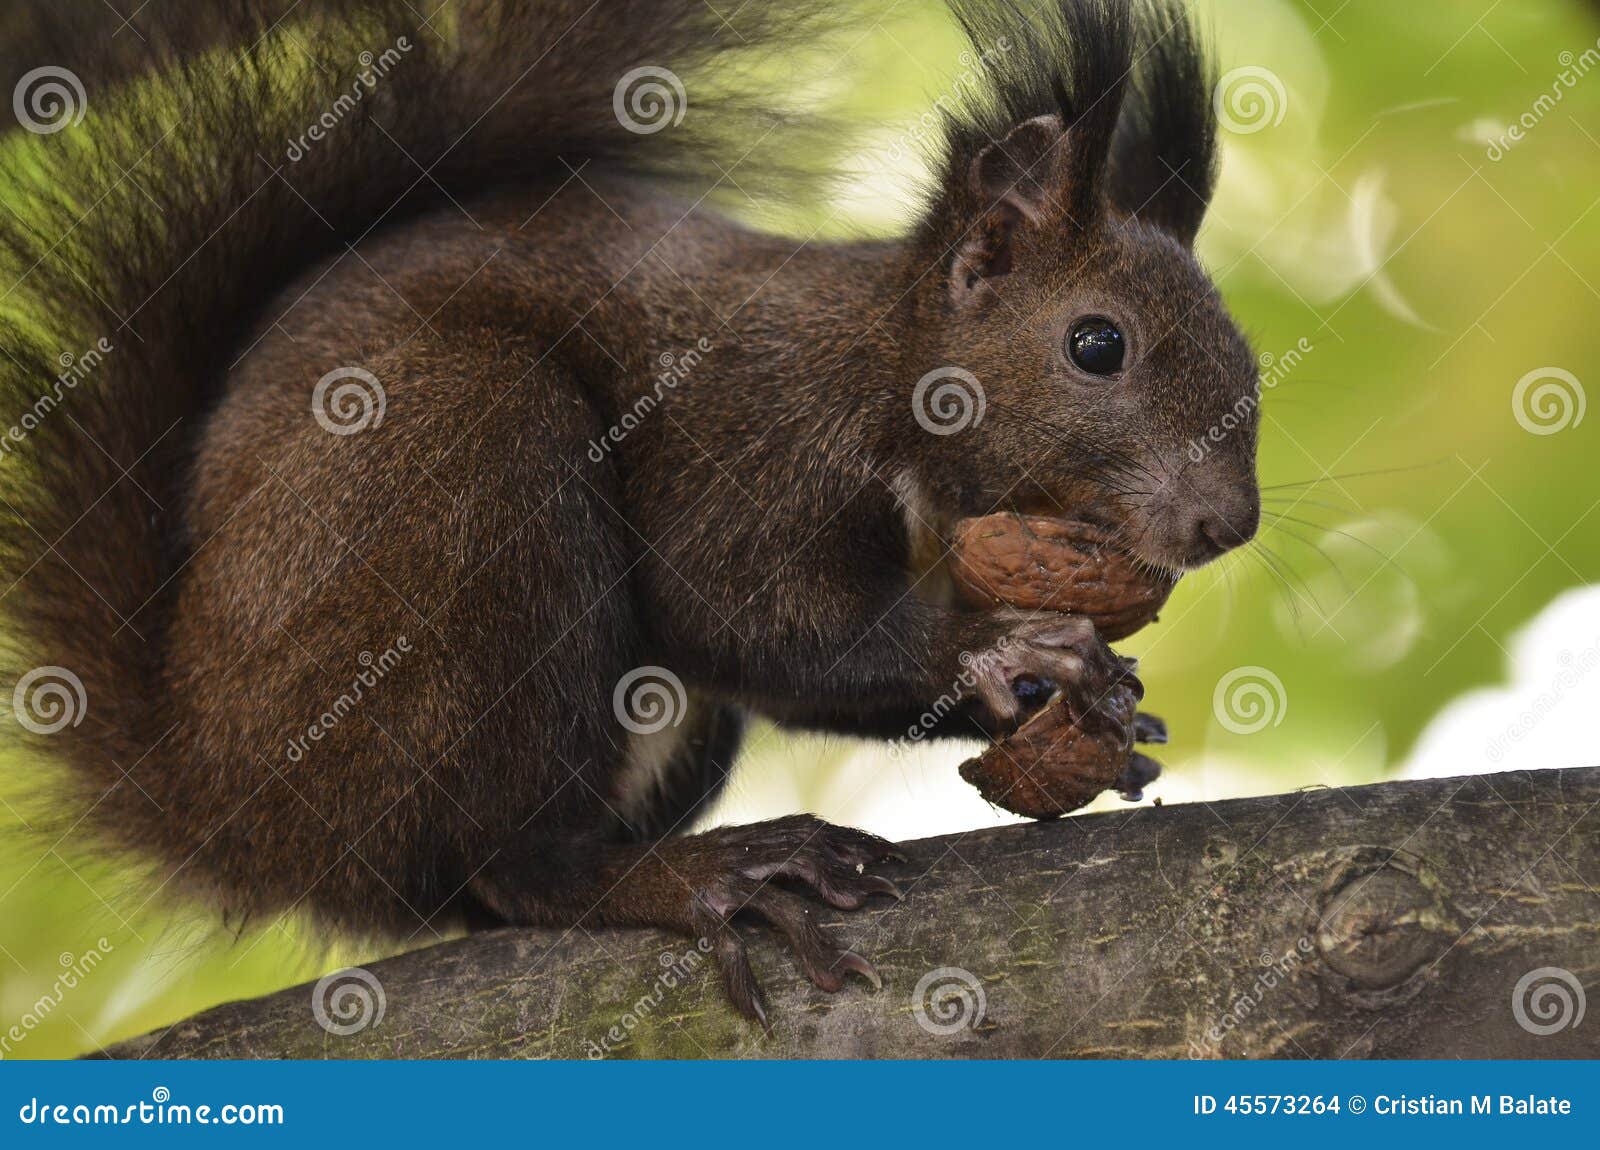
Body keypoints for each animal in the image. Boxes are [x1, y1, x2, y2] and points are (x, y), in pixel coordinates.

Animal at [0, 0, 1260, 1028]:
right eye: (1095, 345)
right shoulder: (747, 429)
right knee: (516, 866)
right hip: (457, 478)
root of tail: (219, 795)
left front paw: (1097, 705)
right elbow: (744, 615)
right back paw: (708, 876)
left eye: (1247, 357)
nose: (1228, 526)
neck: (891, 373)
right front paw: (1011, 645)